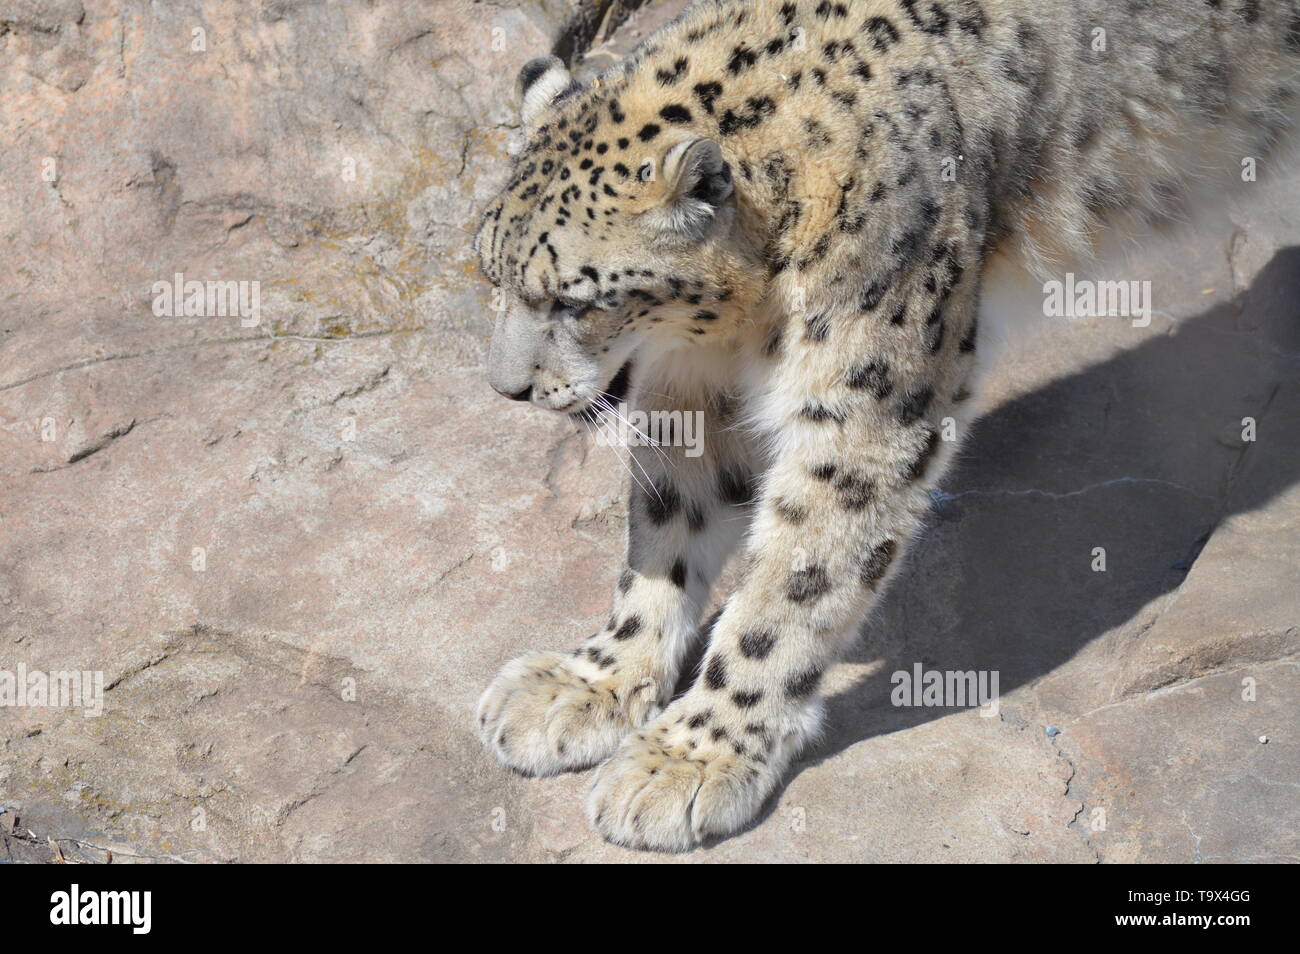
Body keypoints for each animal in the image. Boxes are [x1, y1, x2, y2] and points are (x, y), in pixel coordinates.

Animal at [471, 0, 1300, 851]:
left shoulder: (864, 413)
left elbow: (793, 588)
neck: (744, 328)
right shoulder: (699, 388)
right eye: (488, 271)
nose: (508, 389)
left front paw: (689, 759)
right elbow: (669, 526)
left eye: (574, 299)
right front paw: (589, 682)